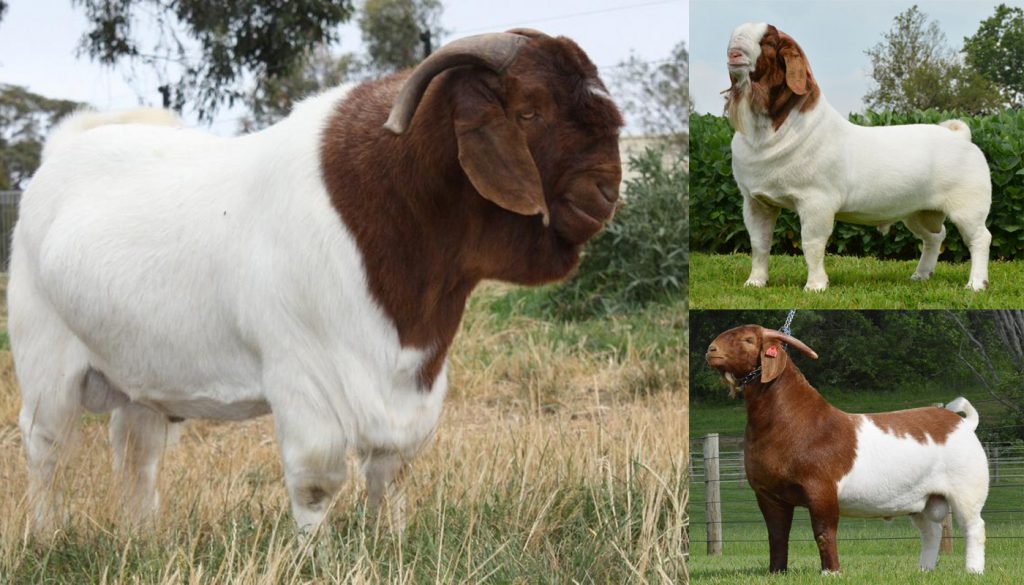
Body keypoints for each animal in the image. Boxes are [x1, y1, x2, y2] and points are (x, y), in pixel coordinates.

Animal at [11, 29, 623, 534]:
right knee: (46, 449)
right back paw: (45, 537)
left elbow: (391, 474)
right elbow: (316, 482)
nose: (606, 192)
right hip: (44, 360)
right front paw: (316, 558)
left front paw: (393, 544)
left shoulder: (410, 380)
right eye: (529, 110)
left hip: (143, 375)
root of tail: (60, 151)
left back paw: (145, 540)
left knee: (136, 450)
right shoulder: (302, 376)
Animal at [705, 325, 989, 574]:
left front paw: (831, 572)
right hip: (921, 498)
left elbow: (824, 532)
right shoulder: (768, 494)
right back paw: (924, 570)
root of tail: (963, 423)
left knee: (974, 526)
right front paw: (776, 572)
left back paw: (973, 570)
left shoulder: (821, 490)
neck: (793, 421)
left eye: (748, 340)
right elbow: (776, 535)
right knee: (931, 531)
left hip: (967, 487)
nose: (711, 350)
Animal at [725, 22, 992, 291]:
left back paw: (976, 284)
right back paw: (921, 274)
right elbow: (759, 242)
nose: (734, 52)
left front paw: (815, 286)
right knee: (935, 236)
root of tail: (960, 136)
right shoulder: (755, 202)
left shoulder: (816, 200)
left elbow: (812, 243)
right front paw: (755, 281)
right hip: (919, 210)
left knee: (980, 237)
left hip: (968, 205)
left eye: (768, 41)